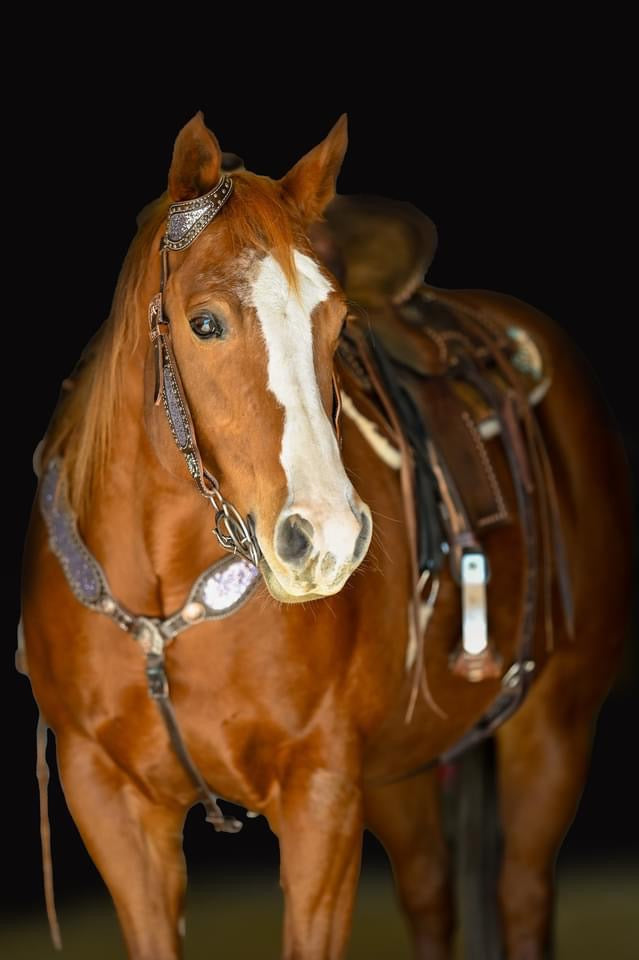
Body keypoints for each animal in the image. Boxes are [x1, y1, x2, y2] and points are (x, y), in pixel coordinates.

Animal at [20, 111, 632, 960]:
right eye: (203, 322)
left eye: (338, 326)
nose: (328, 538)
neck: (165, 608)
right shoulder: (109, 804)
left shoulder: (321, 795)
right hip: (408, 770)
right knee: (429, 895)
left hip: (550, 732)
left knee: (521, 898)